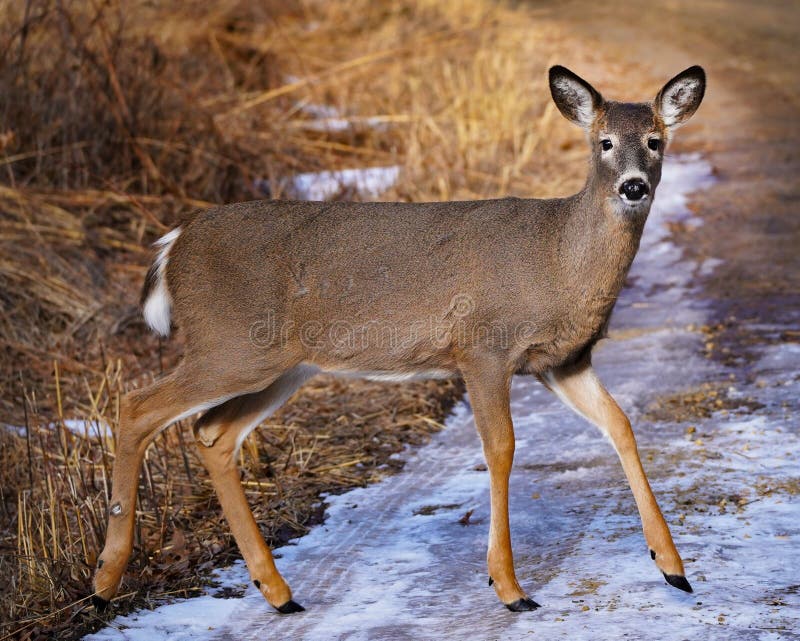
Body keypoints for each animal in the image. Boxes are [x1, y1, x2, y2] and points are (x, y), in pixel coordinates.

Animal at [92, 64, 706, 615]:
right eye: (604, 142)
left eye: (655, 140)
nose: (633, 186)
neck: (558, 259)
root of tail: (173, 243)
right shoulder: (482, 347)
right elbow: (502, 448)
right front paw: (509, 588)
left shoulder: (564, 360)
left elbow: (621, 424)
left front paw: (673, 568)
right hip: (231, 344)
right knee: (136, 406)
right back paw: (104, 579)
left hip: (281, 363)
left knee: (213, 433)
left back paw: (278, 593)